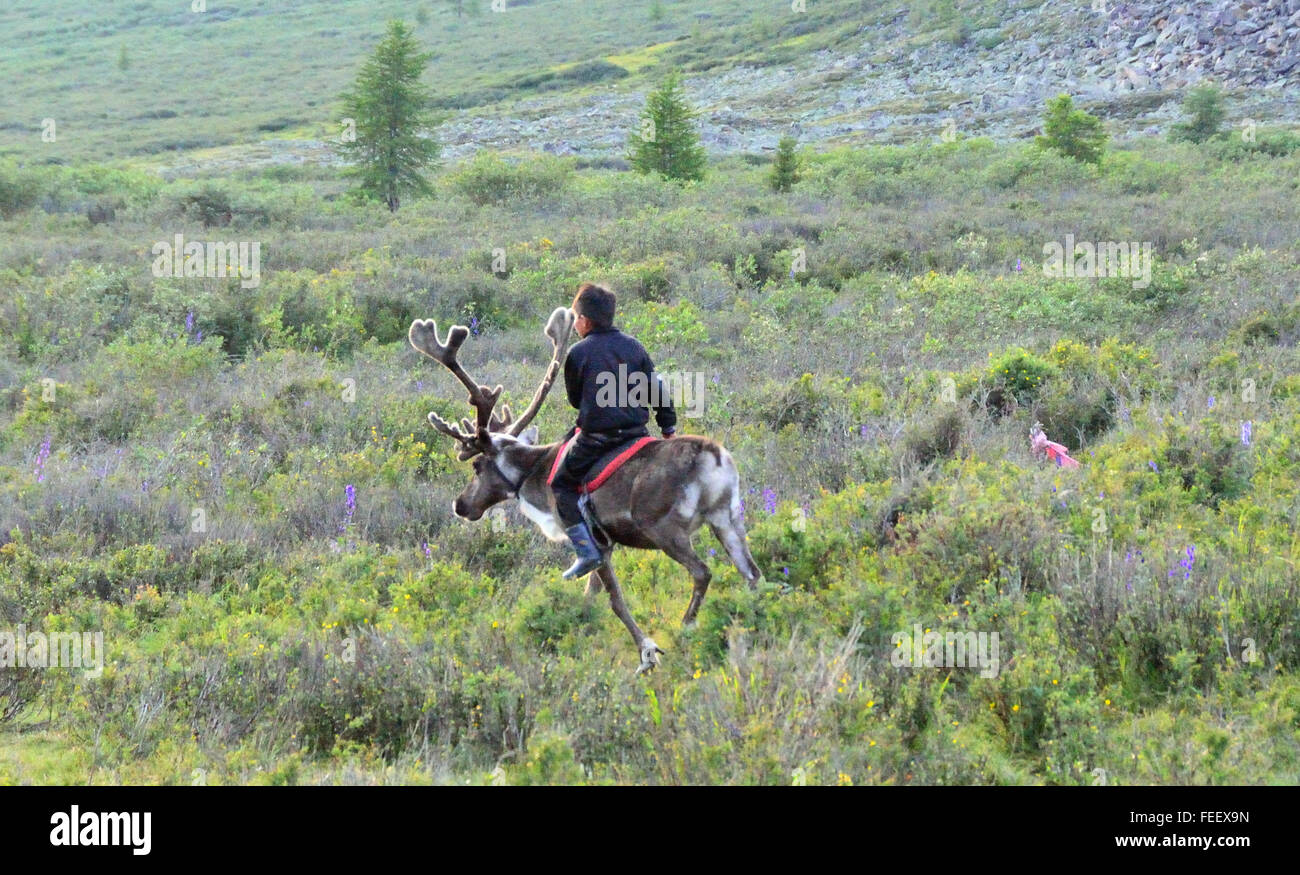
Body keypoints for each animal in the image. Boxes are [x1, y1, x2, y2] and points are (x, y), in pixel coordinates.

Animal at [409, 307, 762, 674]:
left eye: (477, 466)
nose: (460, 505)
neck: (537, 473)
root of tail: (714, 457)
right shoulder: (607, 543)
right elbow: (592, 594)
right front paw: (580, 624)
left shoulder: (594, 538)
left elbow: (615, 600)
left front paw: (646, 652)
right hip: (727, 517)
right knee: (752, 572)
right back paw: (754, 619)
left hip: (665, 528)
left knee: (703, 572)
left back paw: (686, 627)